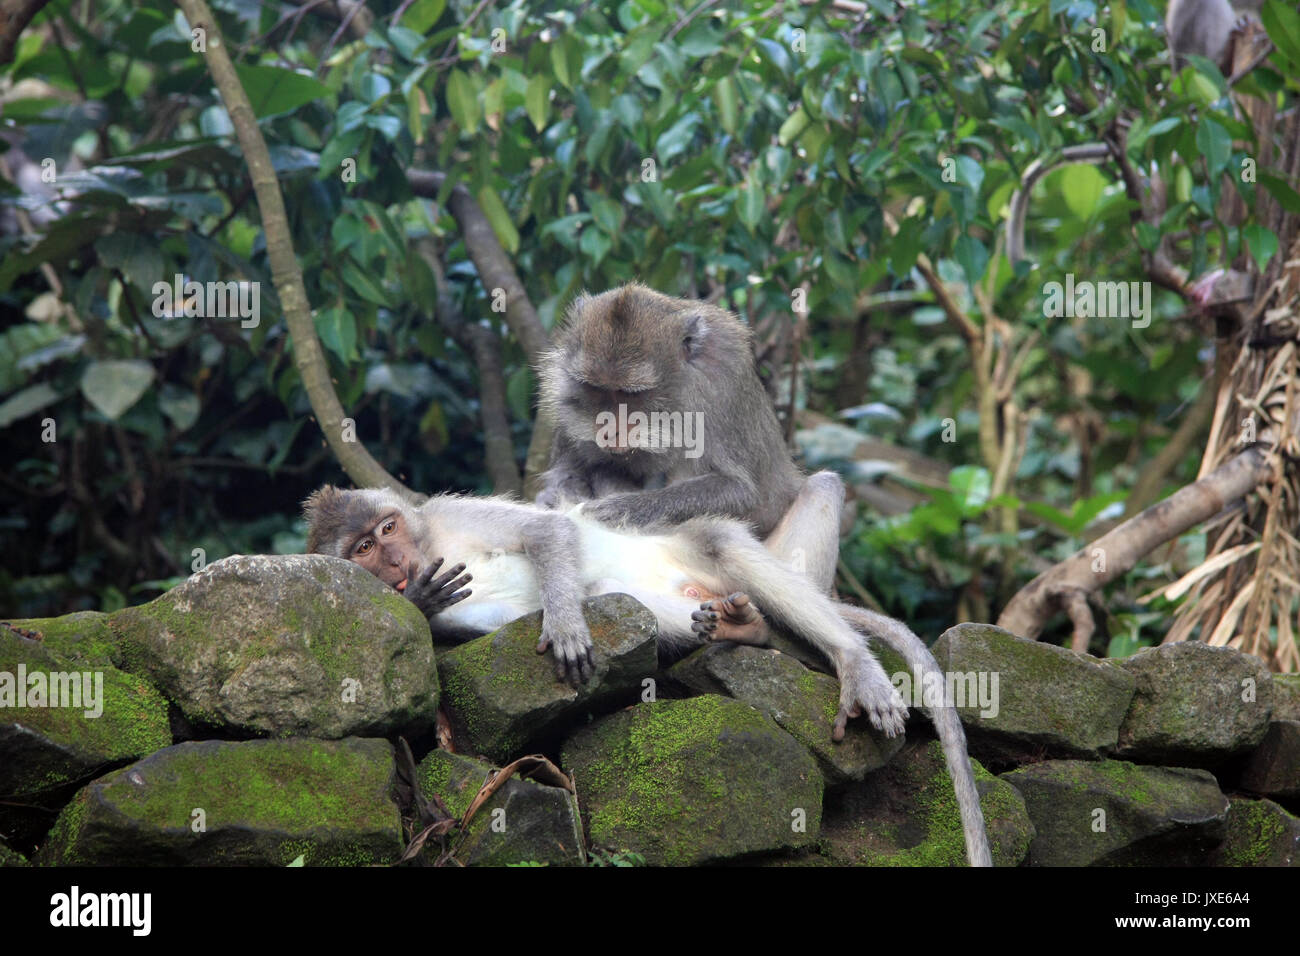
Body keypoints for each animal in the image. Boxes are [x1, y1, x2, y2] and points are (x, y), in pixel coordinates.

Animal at [302, 483, 993, 867]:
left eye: (388, 528)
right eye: (363, 549)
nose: (396, 559)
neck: (430, 545)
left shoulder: (447, 517)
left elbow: (546, 530)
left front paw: (565, 621)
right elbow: (451, 632)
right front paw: (420, 600)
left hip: (693, 556)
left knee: (717, 542)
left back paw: (849, 660)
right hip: (673, 600)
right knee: (625, 600)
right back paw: (748, 631)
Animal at [536, 283, 846, 595]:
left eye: (630, 394)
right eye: (596, 389)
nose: (609, 430)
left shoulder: (722, 381)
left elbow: (741, 490)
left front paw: (616, 510)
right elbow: (567, 469)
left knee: (823, 486)